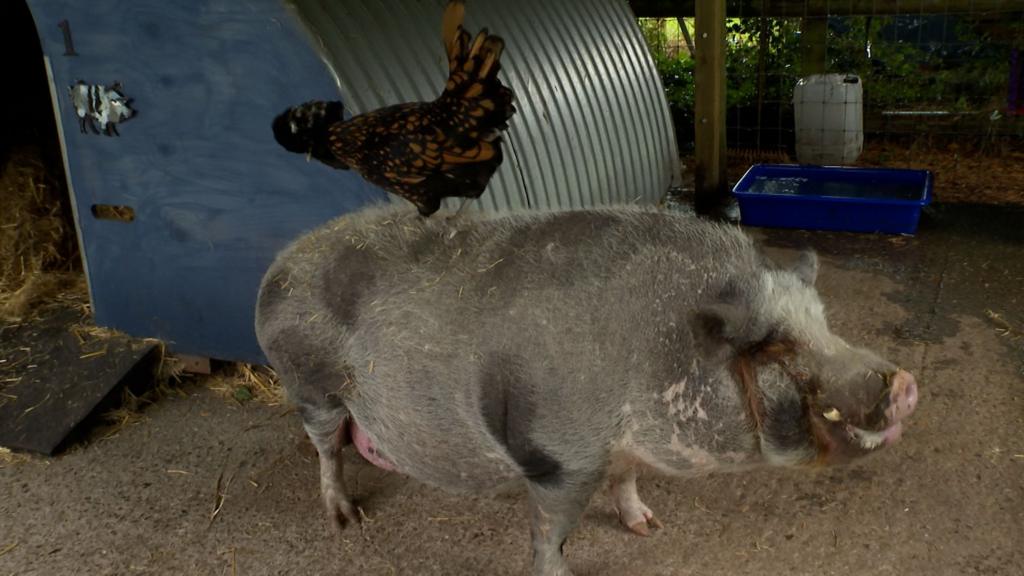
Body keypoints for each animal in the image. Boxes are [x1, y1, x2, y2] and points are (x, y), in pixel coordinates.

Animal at [254, 203, 919, 576]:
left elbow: (626, 481)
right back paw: (344, 520)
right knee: (325, 449)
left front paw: (648, 528)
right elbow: (551, 535)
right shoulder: (558, 458)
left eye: (824, 324)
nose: (905, 381)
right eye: (776, 347)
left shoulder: (623, 446)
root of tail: (278, 264)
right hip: (309, 386)